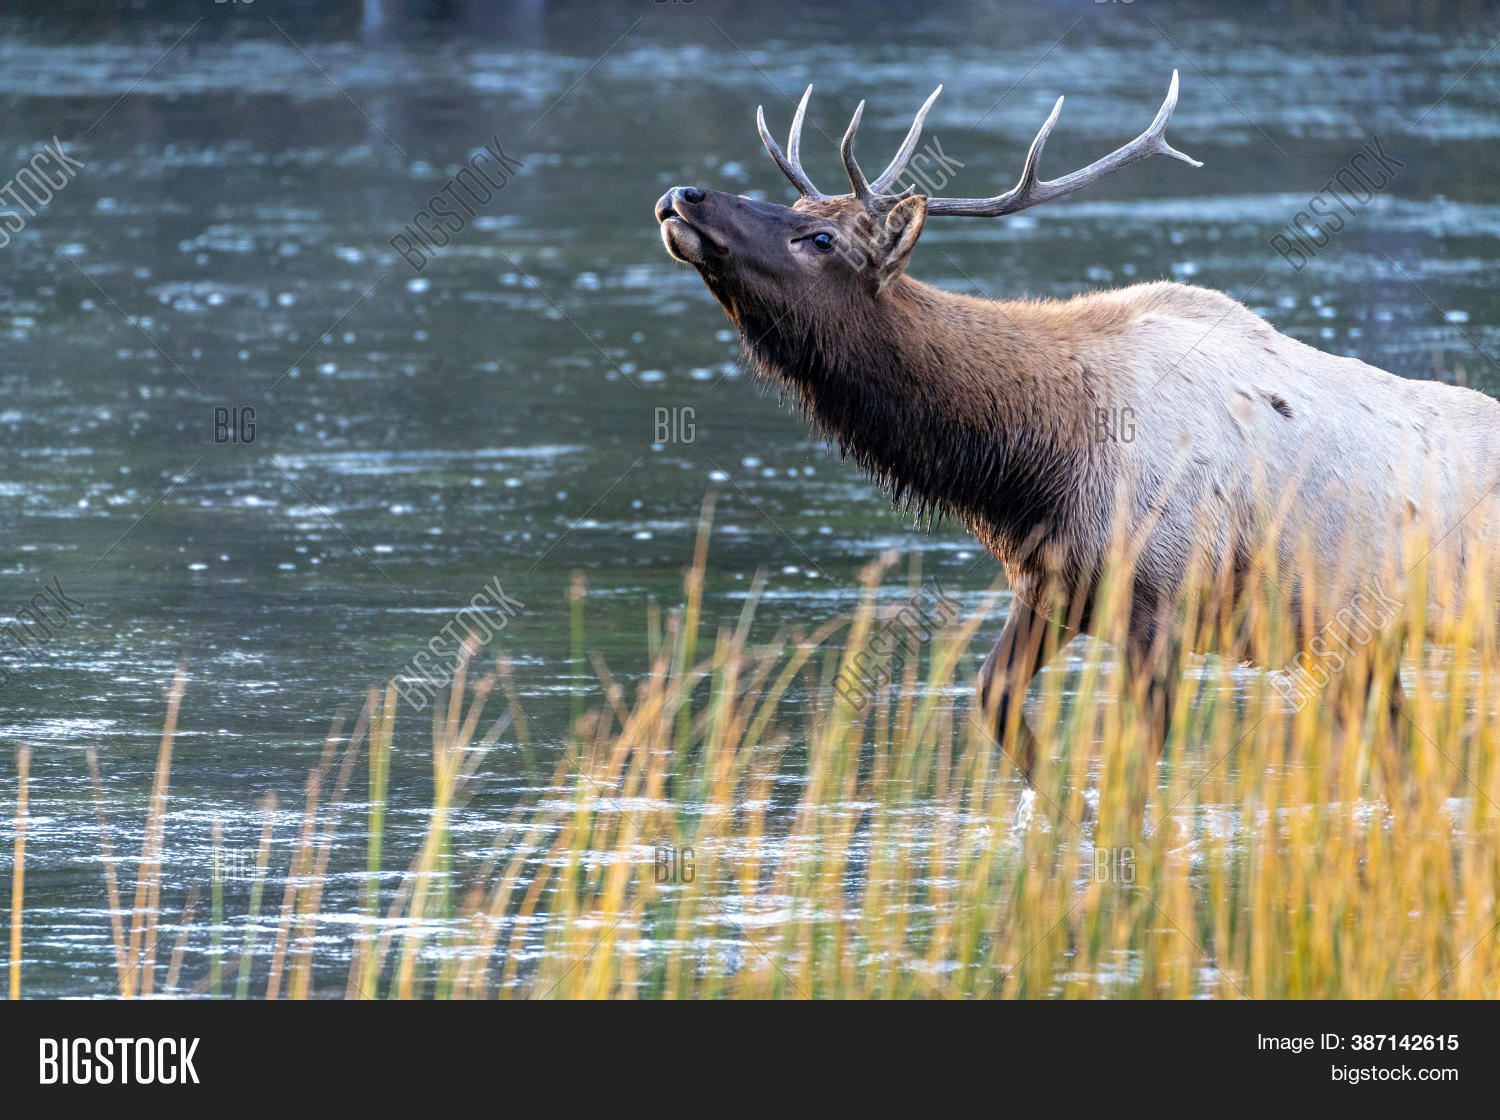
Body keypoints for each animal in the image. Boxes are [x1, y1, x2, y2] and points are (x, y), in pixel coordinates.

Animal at [654, 71, 1500, 785]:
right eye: (801, 213)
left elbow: (1139, 770)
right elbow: (993, 697)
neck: (1034, 468)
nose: (682, 194)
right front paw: (1062, 809)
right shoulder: (1051, 585)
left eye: (822, 240)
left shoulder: (1163, 600)